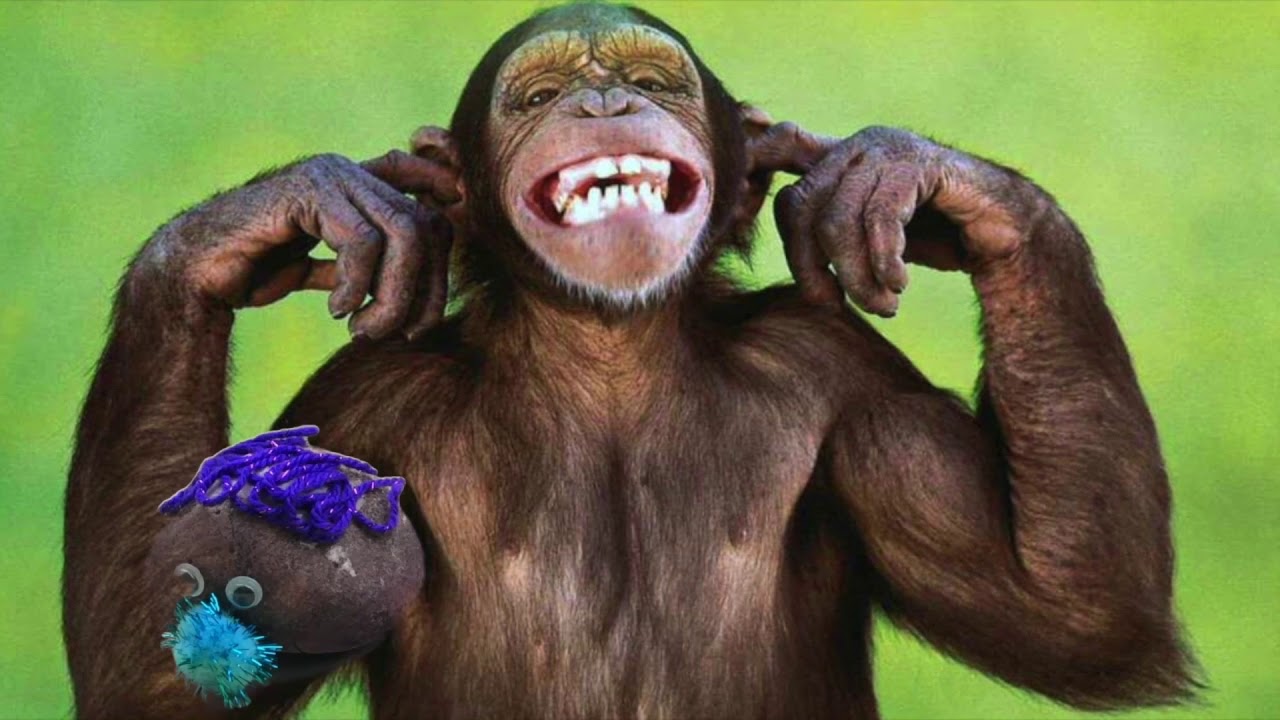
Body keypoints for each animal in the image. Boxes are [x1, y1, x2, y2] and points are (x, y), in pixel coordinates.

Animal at [63, 3, 1199, 718]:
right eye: (536, 95)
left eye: (653, 80)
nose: (605, 103)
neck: (607, 351)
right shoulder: (361, 404)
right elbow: (158, 682)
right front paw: (272, 217)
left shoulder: (833, 365)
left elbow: (1069, 616)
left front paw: (909, 178)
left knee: (890, 446)